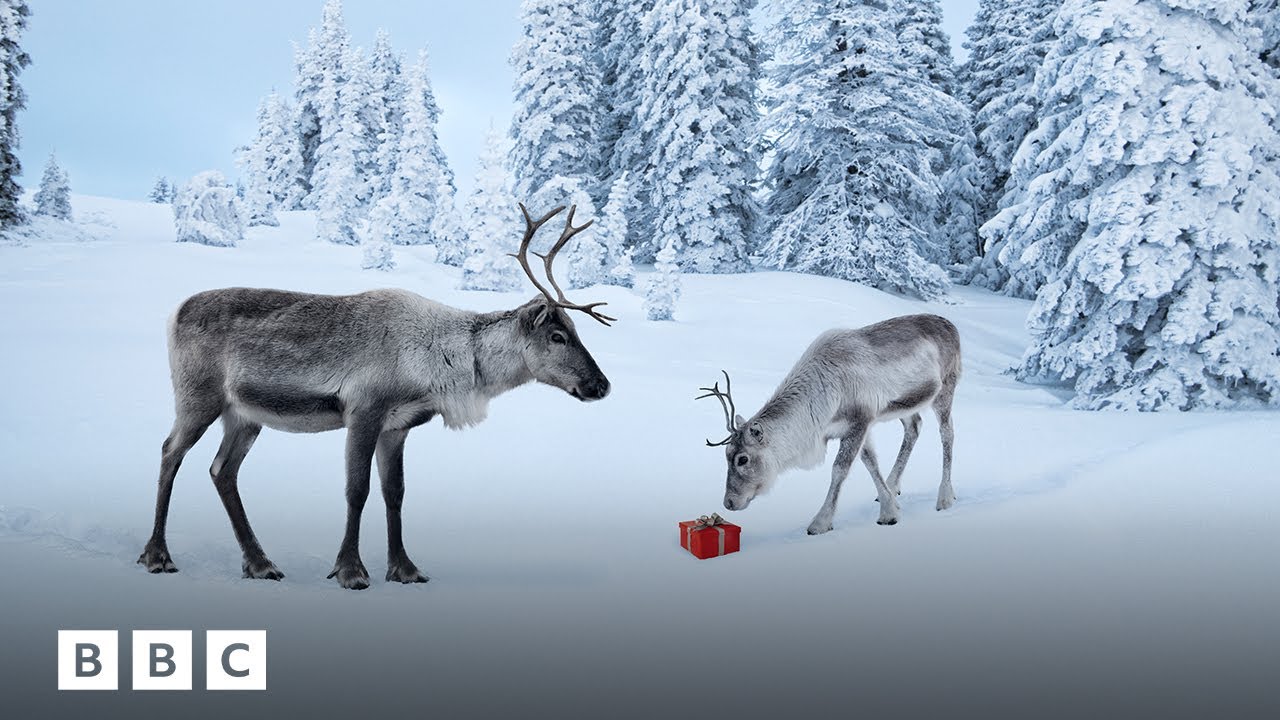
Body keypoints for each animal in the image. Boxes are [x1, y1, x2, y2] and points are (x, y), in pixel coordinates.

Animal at [137, 204, 613, 589]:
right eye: (557, 335)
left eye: (577, 331)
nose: (601, 385)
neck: (443, 364)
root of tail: (172, 313)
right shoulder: (363, 410)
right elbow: (357, 490)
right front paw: (351, 570)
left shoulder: (398, 426)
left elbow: (395, 493)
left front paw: (404, 568)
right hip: (197, 397)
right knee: (170, 452)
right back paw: (158, 555)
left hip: (244, 414)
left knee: (222, 470)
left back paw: (260, 563)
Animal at [698, 315, 960, 535]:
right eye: (726, 453)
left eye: (743, 459)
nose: (729, 502)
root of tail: (952, 326)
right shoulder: (856, 426)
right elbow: (871, 463)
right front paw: (890, 508)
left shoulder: (860, 420)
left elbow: (839, 470)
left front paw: (821, 523)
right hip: (906, 405)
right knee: (914, 426)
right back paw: (893, 485)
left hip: (945, 388)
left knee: (947, 433)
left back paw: (945, 497)